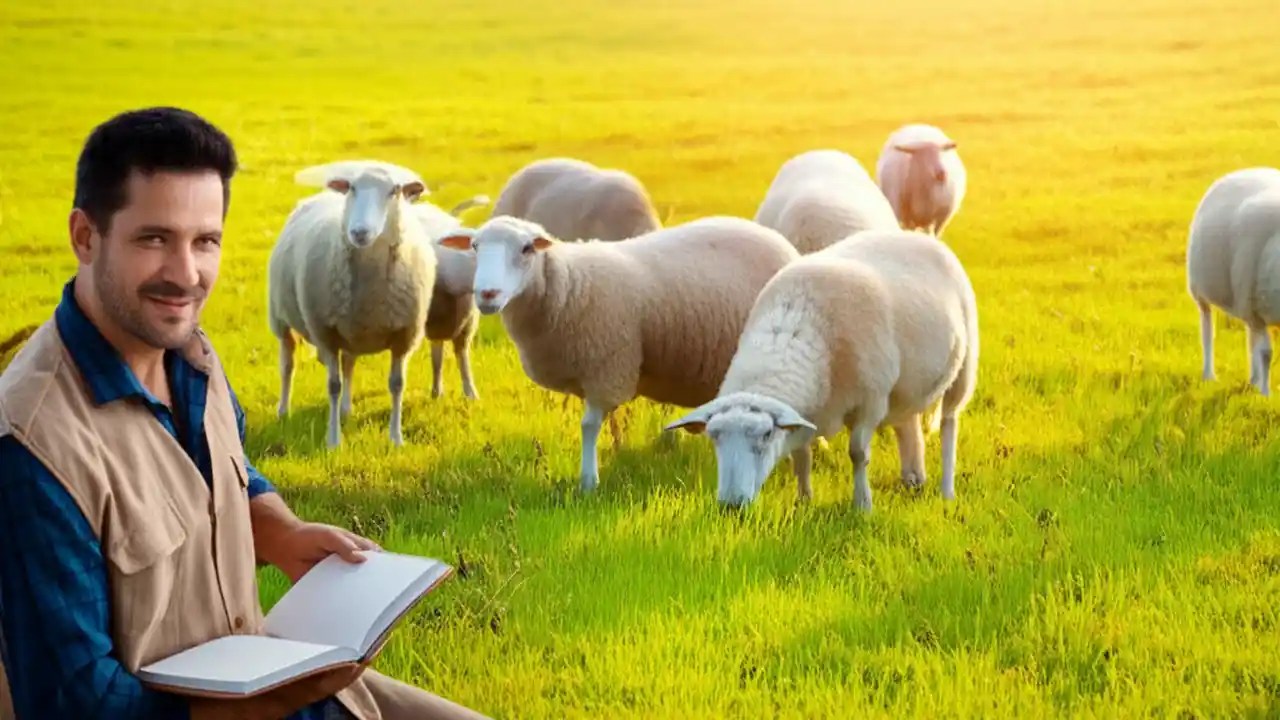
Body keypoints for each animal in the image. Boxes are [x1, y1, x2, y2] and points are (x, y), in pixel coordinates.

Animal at [267, 159, 438, 448]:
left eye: (394, 190)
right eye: (352, 188)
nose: (359, 232)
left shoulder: (405, 335)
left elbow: (397, 384)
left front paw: (396, 438)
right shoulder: (326, 334)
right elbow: (333, 386)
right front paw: (333, 440)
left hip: (351, 332)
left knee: (348, 364)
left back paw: (346, 409)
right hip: (281, 320)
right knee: (287, 365)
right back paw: (283, 410)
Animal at [412, 195, 492, 400]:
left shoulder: (466, 326)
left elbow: (462, 358)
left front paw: (471, 393)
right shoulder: (434, 326)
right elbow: (437, 359)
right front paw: (436, 392)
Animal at [436, 215, 801, 491]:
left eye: (526, 248)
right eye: (474, 247)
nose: (487, 294)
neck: (569, 286)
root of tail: (783, 243)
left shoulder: (606, 365)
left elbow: (588, 425)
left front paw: (588, 480)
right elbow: (609, 421)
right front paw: (616, 449)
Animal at [664, 229, 979, 511]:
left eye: (766, 435)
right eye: (714, 436)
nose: (731, 505)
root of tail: (917, 235)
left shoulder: (872, 402)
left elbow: (857, 454)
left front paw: (862, 505)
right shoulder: (806, 415)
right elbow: (801, 457)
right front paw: (803, 501)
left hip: (963, 370)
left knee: (949, 424)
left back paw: (947, 490)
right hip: (905, 389)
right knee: (908, 425)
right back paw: (913, 479)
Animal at [1186, 166, 1280, 395]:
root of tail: (1243, 171)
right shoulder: (1252, 306)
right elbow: (1266, 353)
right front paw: (1266, 395)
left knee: (1250, 338)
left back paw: (1253, 379)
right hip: (1203, 292)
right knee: (1207, 330)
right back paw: (1209, 374)